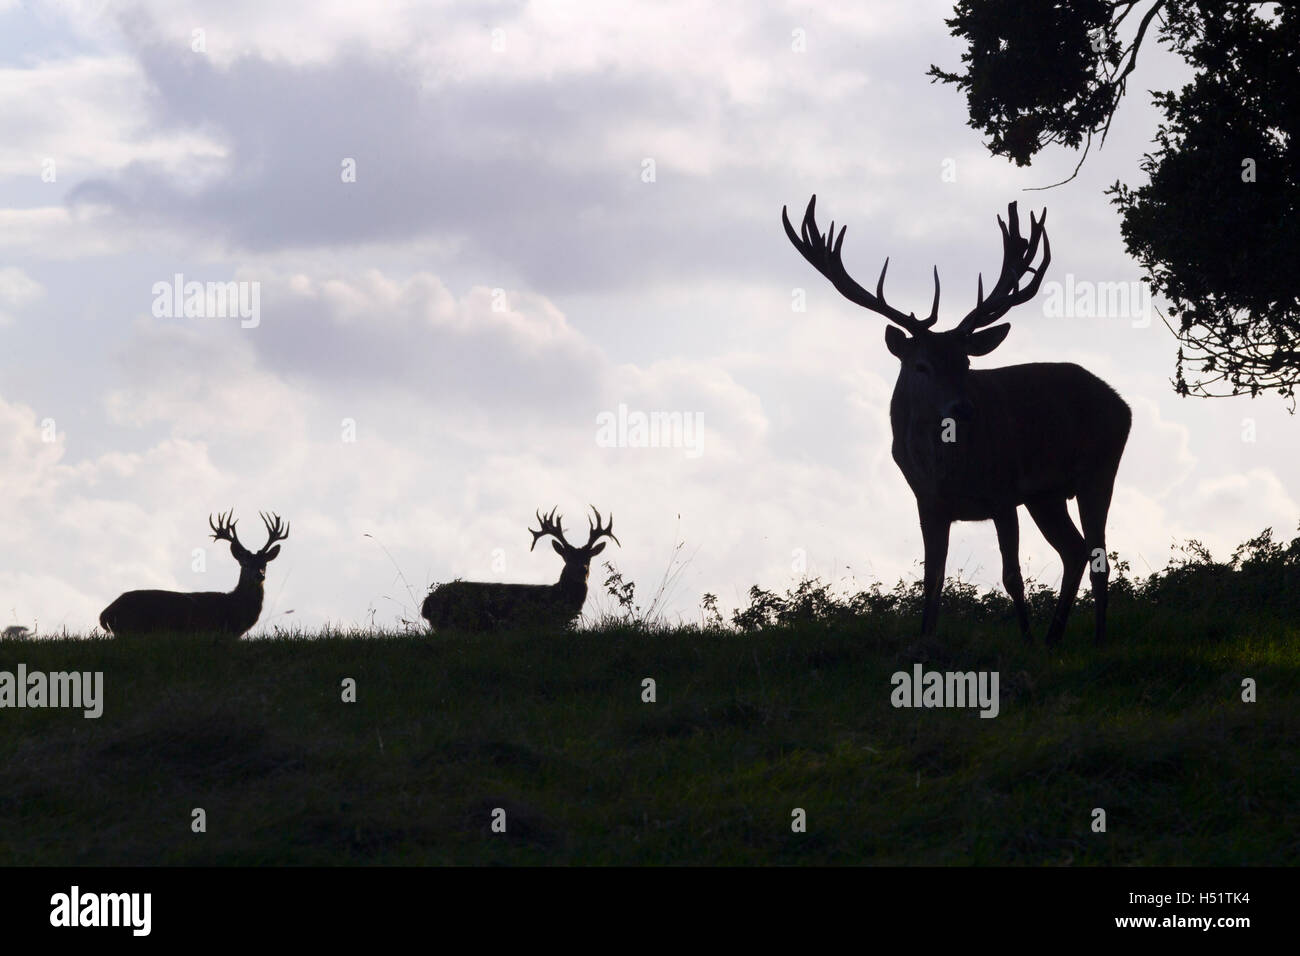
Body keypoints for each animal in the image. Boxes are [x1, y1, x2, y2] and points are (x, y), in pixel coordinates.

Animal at [99, 511, 290, 639]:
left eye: (264, 564)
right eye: (244, 563)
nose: (259, 576)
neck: (235, 607)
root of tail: (105, 613)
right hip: (132, 627)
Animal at [783, 195, 1130, 644]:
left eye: (965, 362)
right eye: (921, 365)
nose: (963, 408)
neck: (945, 469)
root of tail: (1122, 404)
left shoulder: (1003, 491)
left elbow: (1012, 576)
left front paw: (1025, 640)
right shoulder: (928, 502)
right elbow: (933, 578)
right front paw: (924, 640)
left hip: (1098, 469)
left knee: (1098, 553)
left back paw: (1096, 638)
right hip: (1046, 494)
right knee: (1073, 550)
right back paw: (1054, 637)